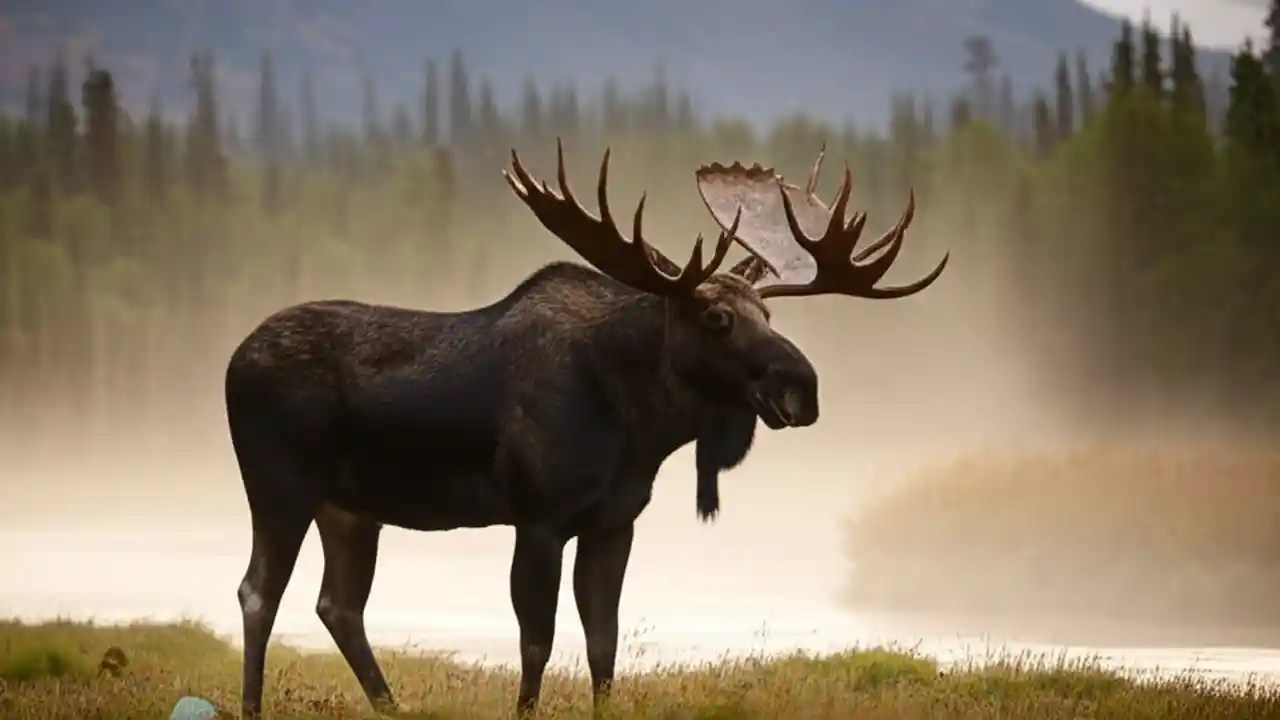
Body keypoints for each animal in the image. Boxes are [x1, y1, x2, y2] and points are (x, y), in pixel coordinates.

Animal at [224, 139, 948, 718]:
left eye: (768, 315)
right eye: (717, 318)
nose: (804, 388)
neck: (638, 428)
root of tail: (232, 361)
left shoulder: (612, 523)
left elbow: (604, 639)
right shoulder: (539, 517)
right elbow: (536, 640)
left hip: (351, 507)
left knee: (338, 604)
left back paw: (389, 706)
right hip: (281, 484)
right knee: (259, 592)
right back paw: (253, 707)